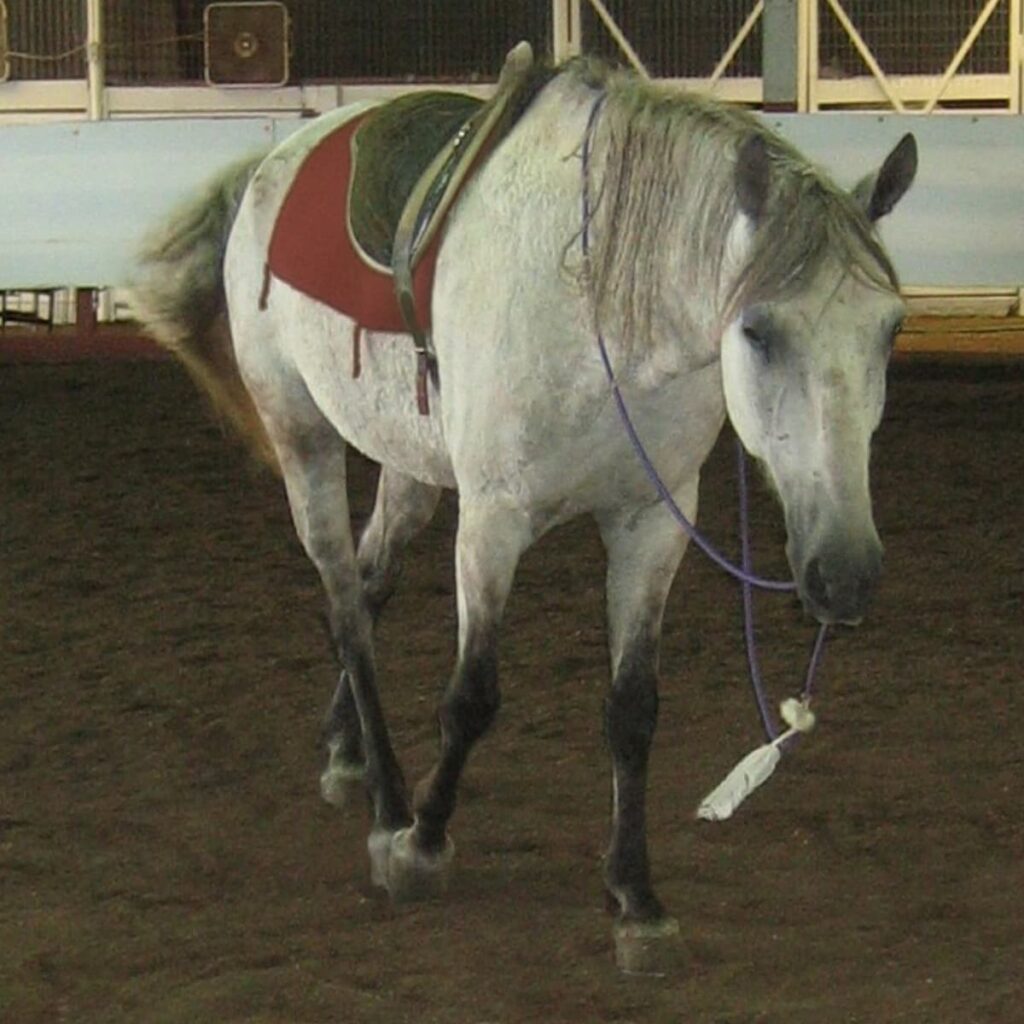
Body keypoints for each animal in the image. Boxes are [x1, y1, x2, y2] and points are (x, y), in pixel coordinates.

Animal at [131, 48, 917, 972]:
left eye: (891, 329)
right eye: (758, 332)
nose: (847, 575)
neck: (600, 311)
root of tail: (276, 159)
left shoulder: (652, 523)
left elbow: (633, 709)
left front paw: (635, 898)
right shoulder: (492, 524)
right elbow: (472, 695)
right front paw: (423, 844)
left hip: (411, 465)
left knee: (370, 582)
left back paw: (346, 751)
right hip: (305, 440)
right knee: (345, 608)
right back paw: (389, 806)